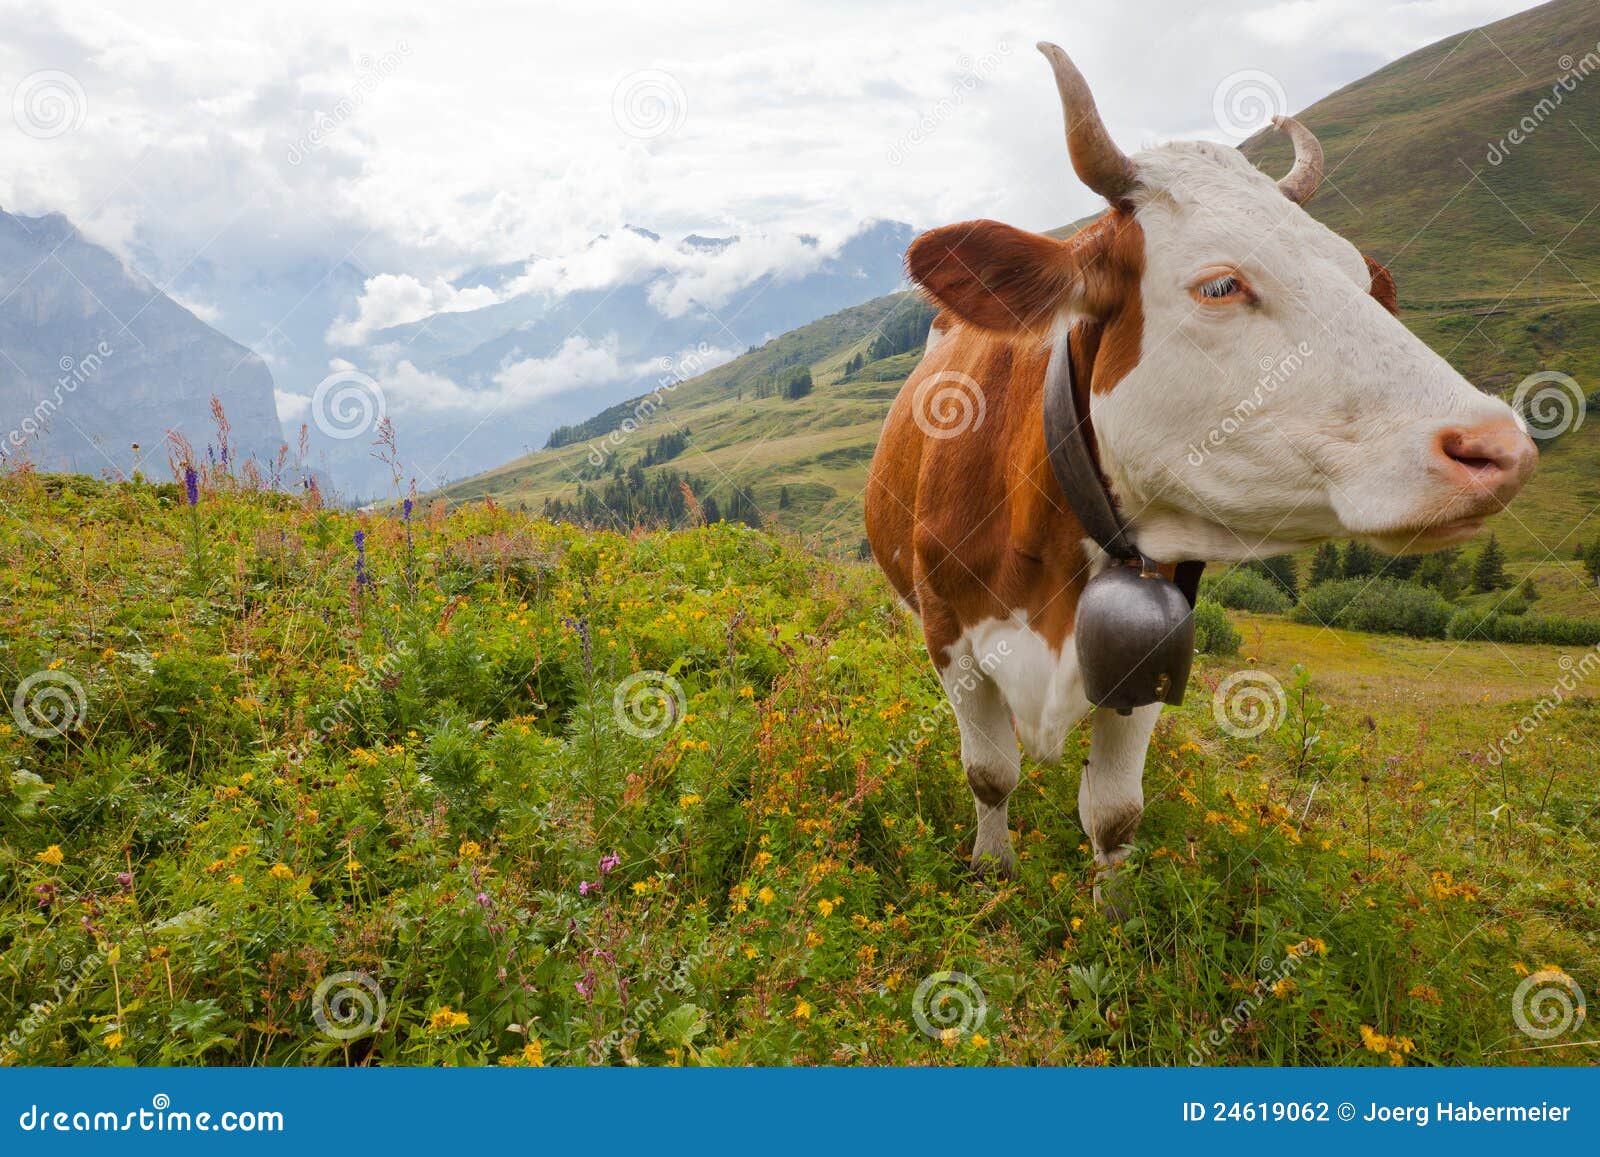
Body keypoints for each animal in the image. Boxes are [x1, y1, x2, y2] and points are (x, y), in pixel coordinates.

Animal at [864, 43, 1537, 904]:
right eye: (1220, 284)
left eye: (1363, 283)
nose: (1498, 446)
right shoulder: (949, 635)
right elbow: (990, 772)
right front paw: (992, 875)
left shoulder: (1147, 652)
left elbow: (1113, 810)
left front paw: (1112, 916)